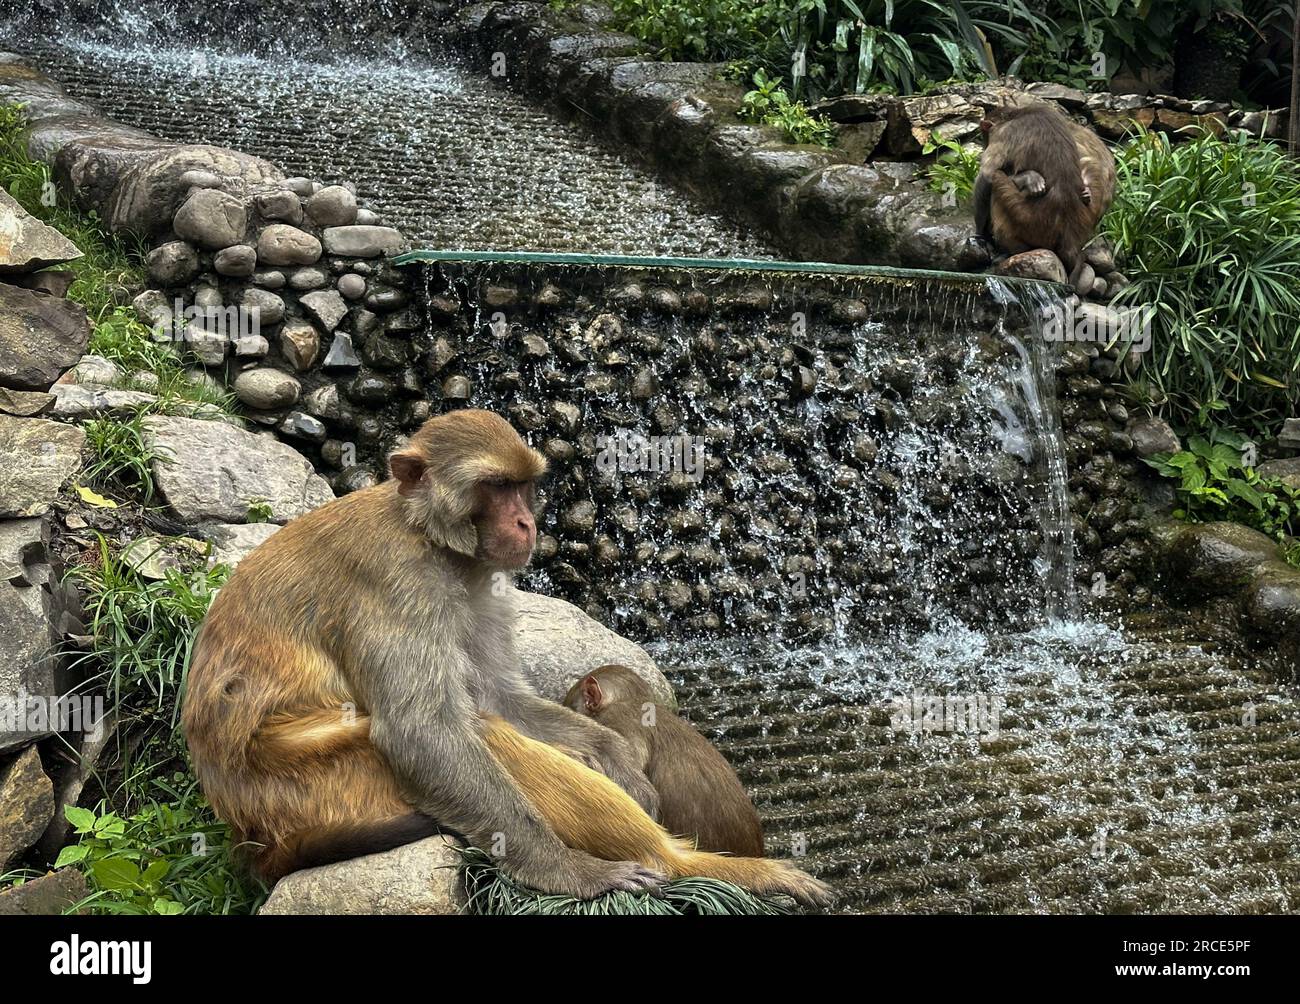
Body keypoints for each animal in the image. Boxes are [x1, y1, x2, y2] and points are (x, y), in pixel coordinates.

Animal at [972, 104, 1115, 288]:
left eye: (986, 137)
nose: (984, 144)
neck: (1015, 115)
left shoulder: (1002, 134)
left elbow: (987, 176)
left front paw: (979, 233)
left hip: (1028, 223)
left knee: (997, 180)